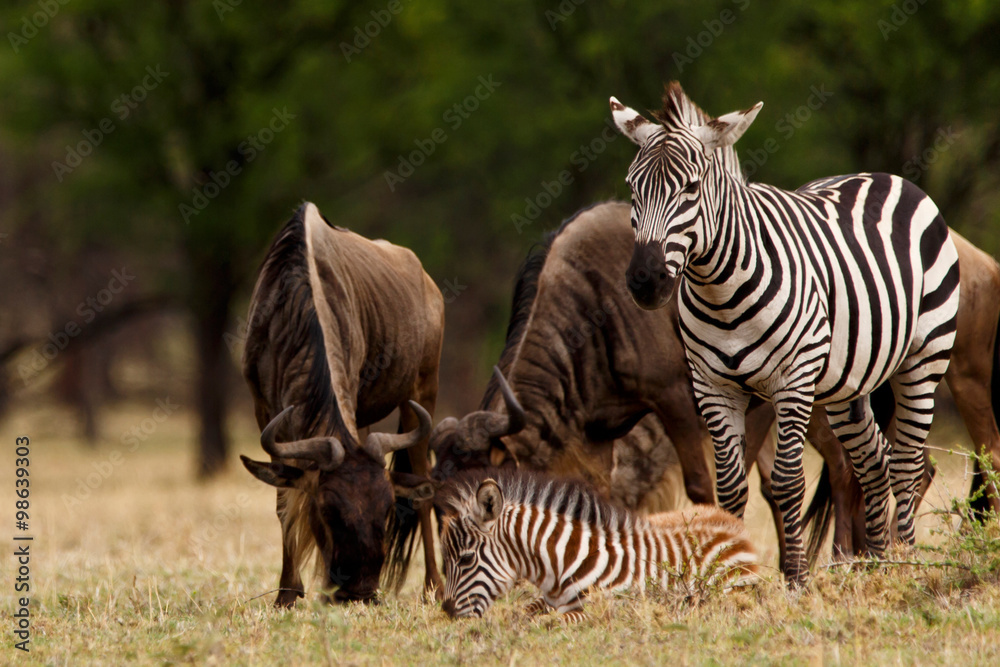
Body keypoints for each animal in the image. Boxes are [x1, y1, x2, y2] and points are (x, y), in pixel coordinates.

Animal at [437, 468, 759, 621]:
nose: (447, 612)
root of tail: (732, 522)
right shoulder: (547, 601)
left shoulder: (600, 610)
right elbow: (524, 614)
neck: (561, 563)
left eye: (465, 559)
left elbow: (545, 623)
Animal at [609, 82, 961, 584]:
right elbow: (731, 490)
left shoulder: (791, 382)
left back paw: (905, 561)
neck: (720, 290)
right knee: (873, 460)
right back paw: (878, 565)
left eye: (690, 188)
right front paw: (732, 574)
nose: (645, 280)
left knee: (906, 464)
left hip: (923, 360)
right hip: (848, 384)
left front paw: (795, 578)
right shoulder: (712, 387)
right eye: (632, 188)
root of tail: (886, 176)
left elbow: (788, 482)